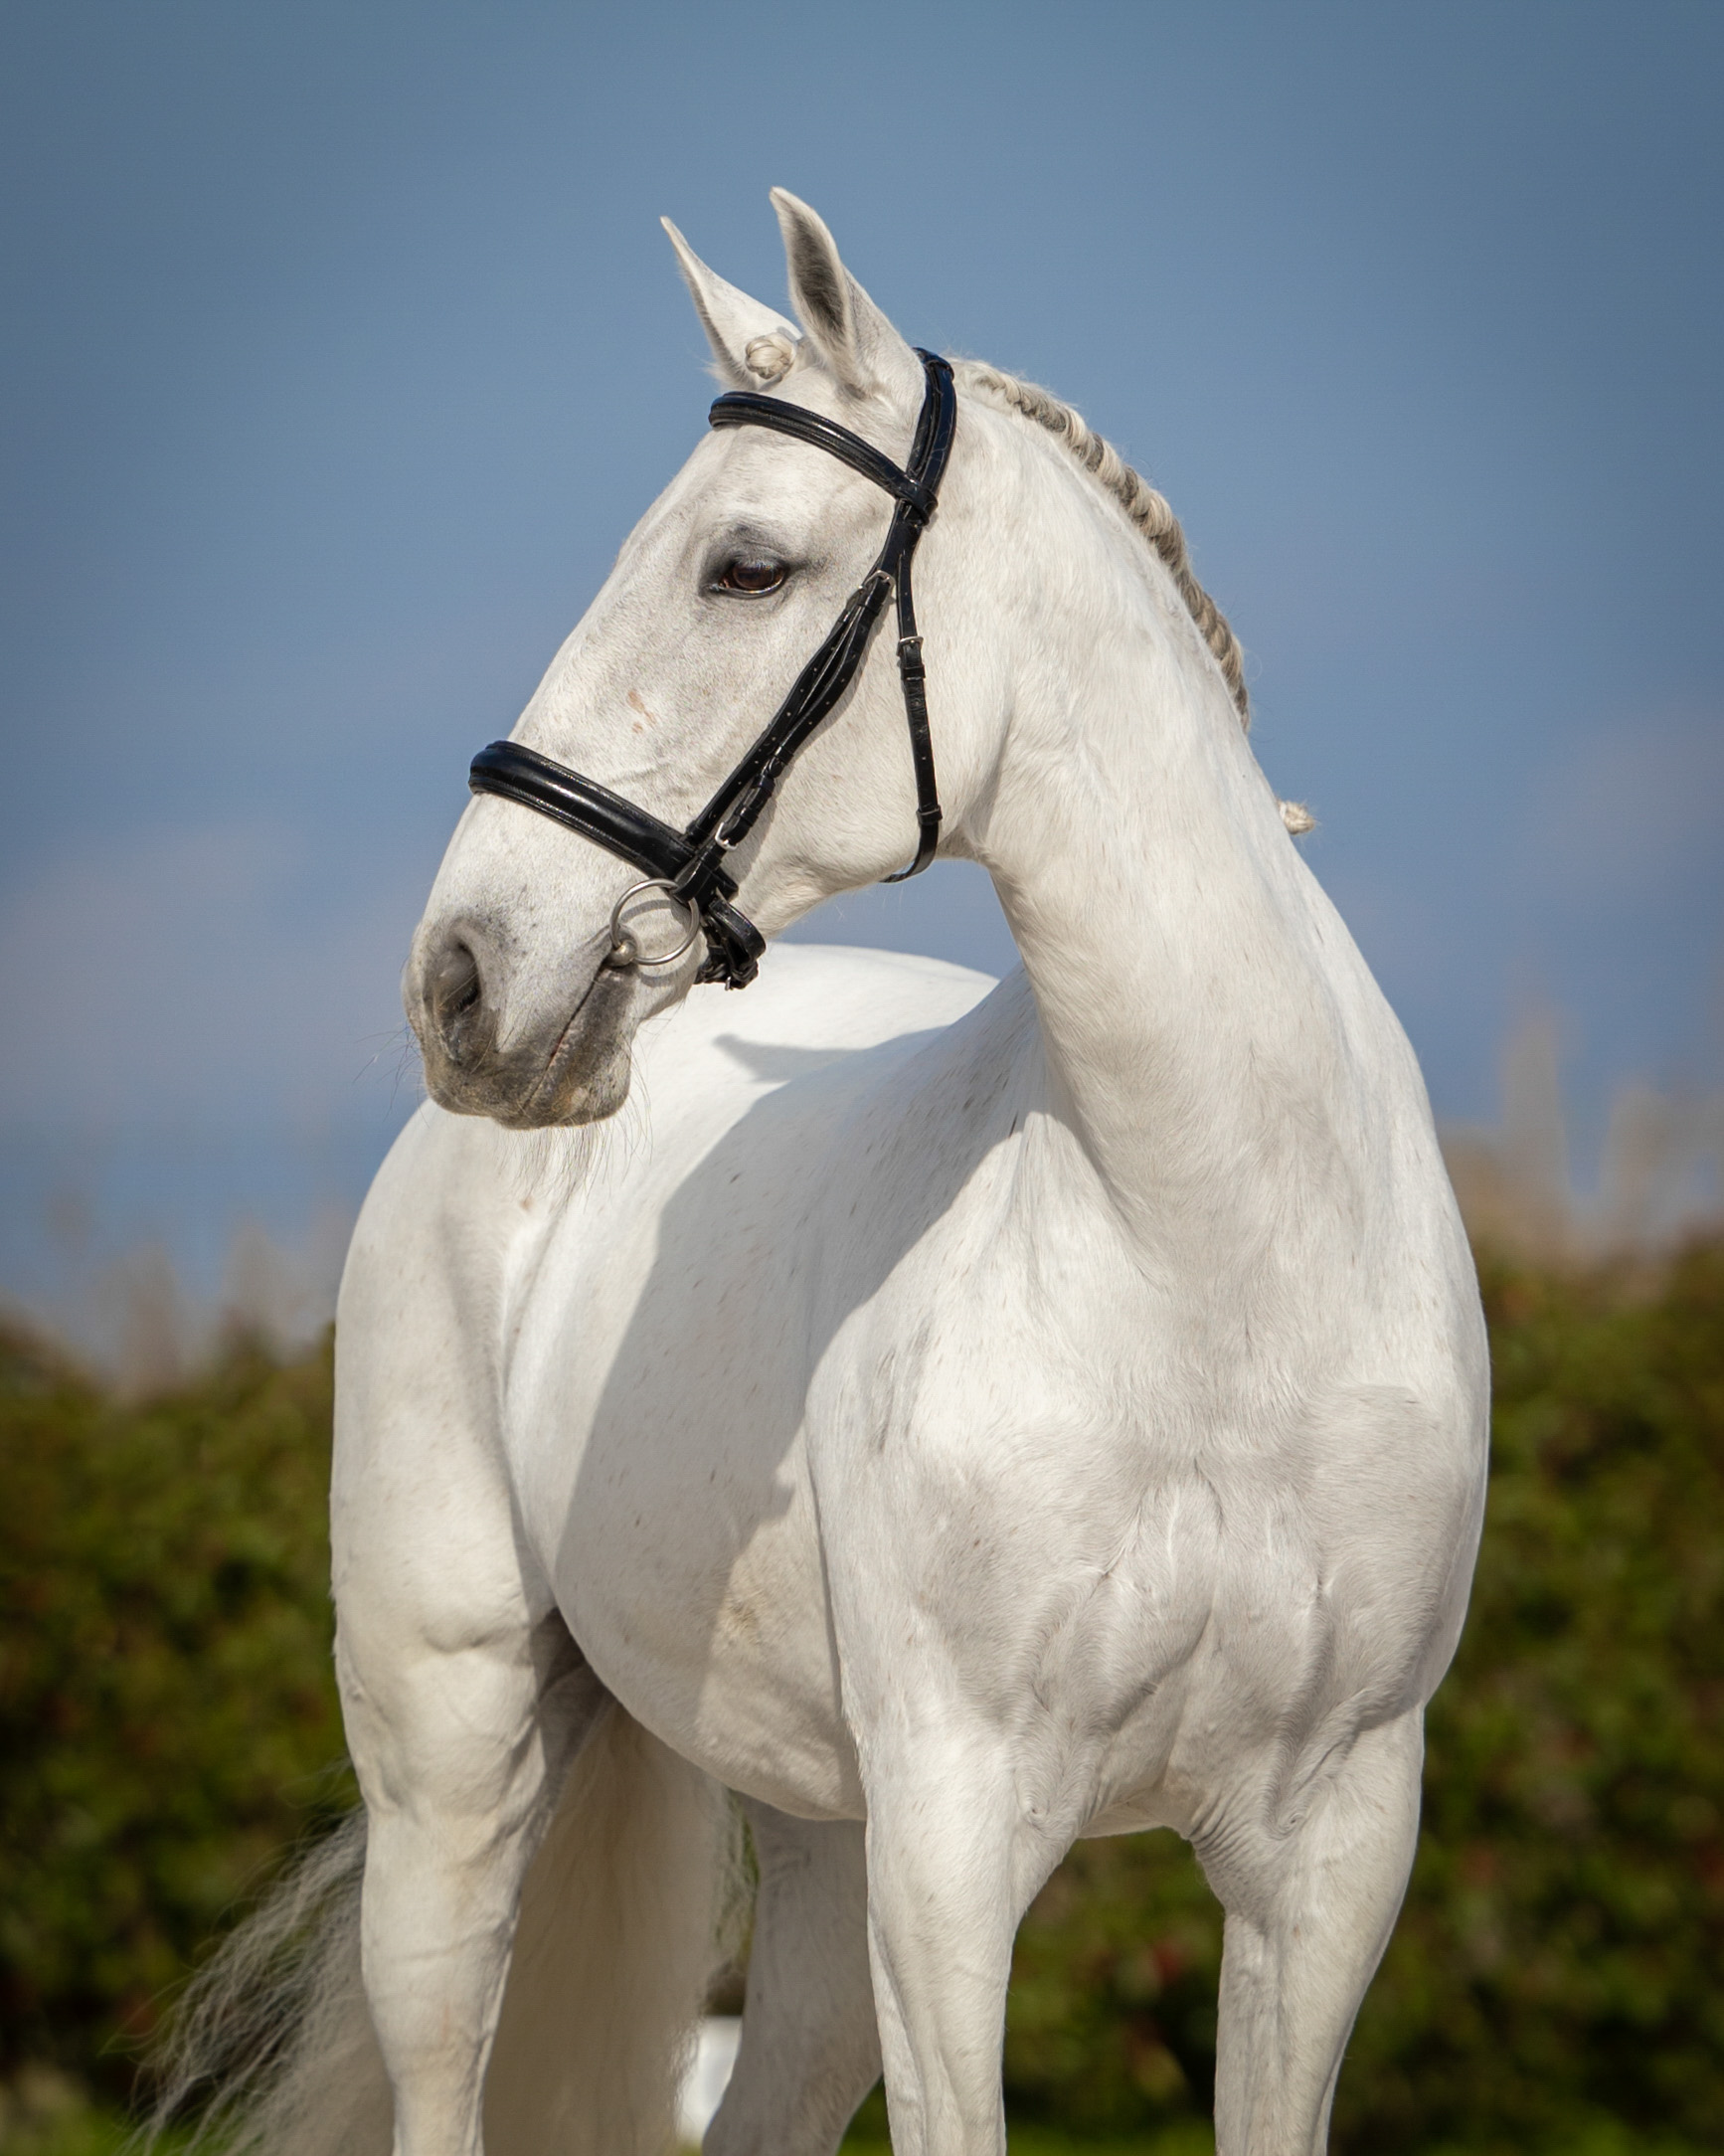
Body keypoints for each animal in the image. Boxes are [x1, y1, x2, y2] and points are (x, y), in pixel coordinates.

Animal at [161, 191, 1487, 2156]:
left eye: (744, 567)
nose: (462, 976)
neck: (1209, 1277)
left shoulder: (1324, 1859)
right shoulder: (950, 1850)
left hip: (813, 1844)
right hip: (453, 1763)